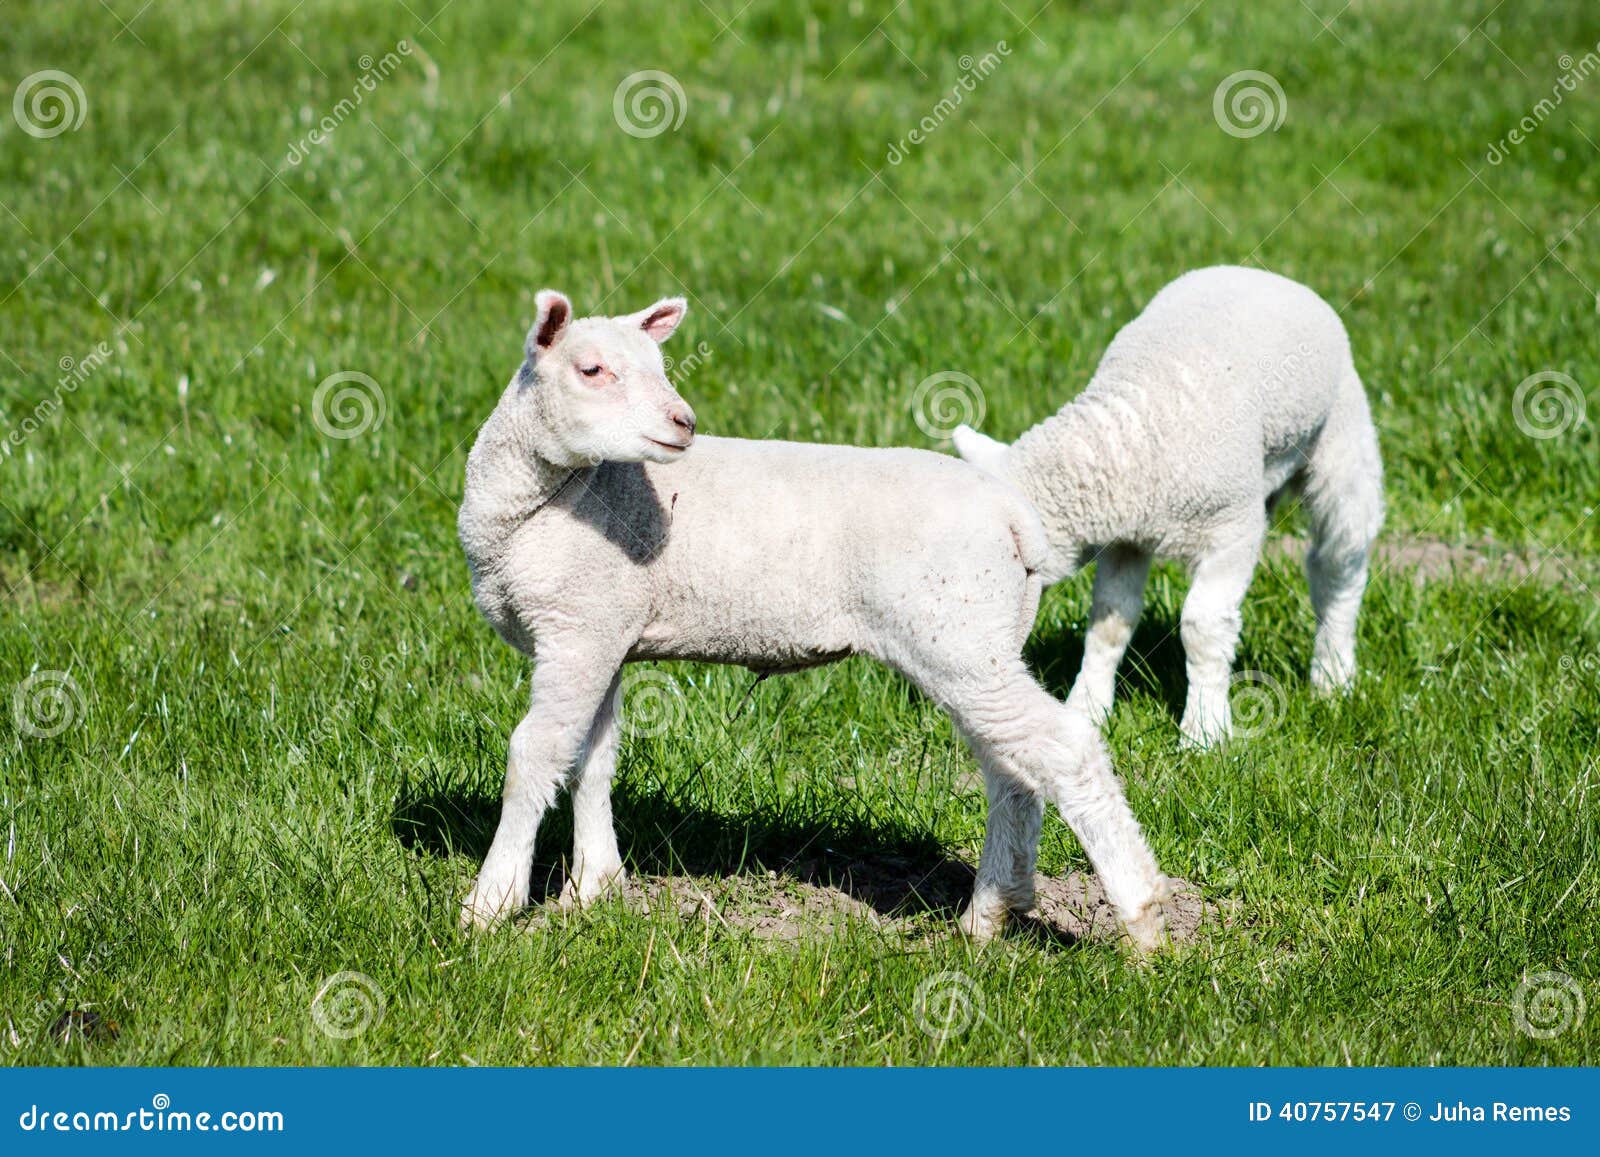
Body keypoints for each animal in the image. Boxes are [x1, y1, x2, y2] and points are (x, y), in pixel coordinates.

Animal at [456, 289, 1171, 948]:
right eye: (592, 369)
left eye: (659, 366)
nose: (683, 422)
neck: (555, 498)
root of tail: (1016, 516)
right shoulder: (603, 630)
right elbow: (592, 758)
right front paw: (592, 891)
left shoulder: (576, 631)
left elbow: (534, 753)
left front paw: (491, 904)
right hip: (983, 637)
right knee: (1012, 768)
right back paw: (989, 916)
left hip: (957, 636)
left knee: (1064, 746)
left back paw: (1143, 921)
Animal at [953, 265, 1384, 748]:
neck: (1135, 434)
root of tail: (1266, 273)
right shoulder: (1125, 540)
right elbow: (1110, 621)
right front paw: (1086, 708)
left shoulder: (1233, 528)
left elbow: (1202, 626)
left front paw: (1205, 733)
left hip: (1344, 443)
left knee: (1338, 565)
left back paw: (1333, 676)